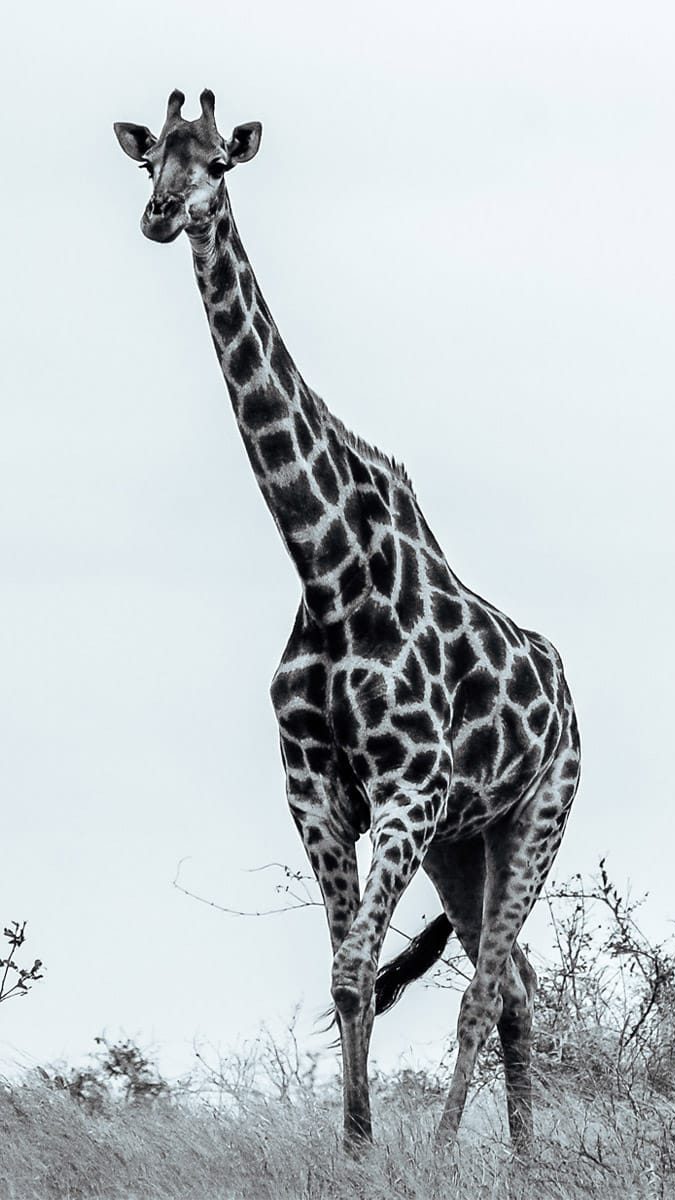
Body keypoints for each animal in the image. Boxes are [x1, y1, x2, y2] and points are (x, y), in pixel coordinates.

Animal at [114, 89, 581, 1155]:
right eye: (153, 158)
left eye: (219, 163)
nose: (162, 215)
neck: (327, 570)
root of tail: (568, 699)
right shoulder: (316, 791)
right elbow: (345, 980)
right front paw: (355, 1148)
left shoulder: (407, 789)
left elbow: (358, 970)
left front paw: (379, 1152)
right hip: (463, 841)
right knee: (517, 983)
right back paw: (525, 1160)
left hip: (536, 815)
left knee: (485, 990)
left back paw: (452, 1155)